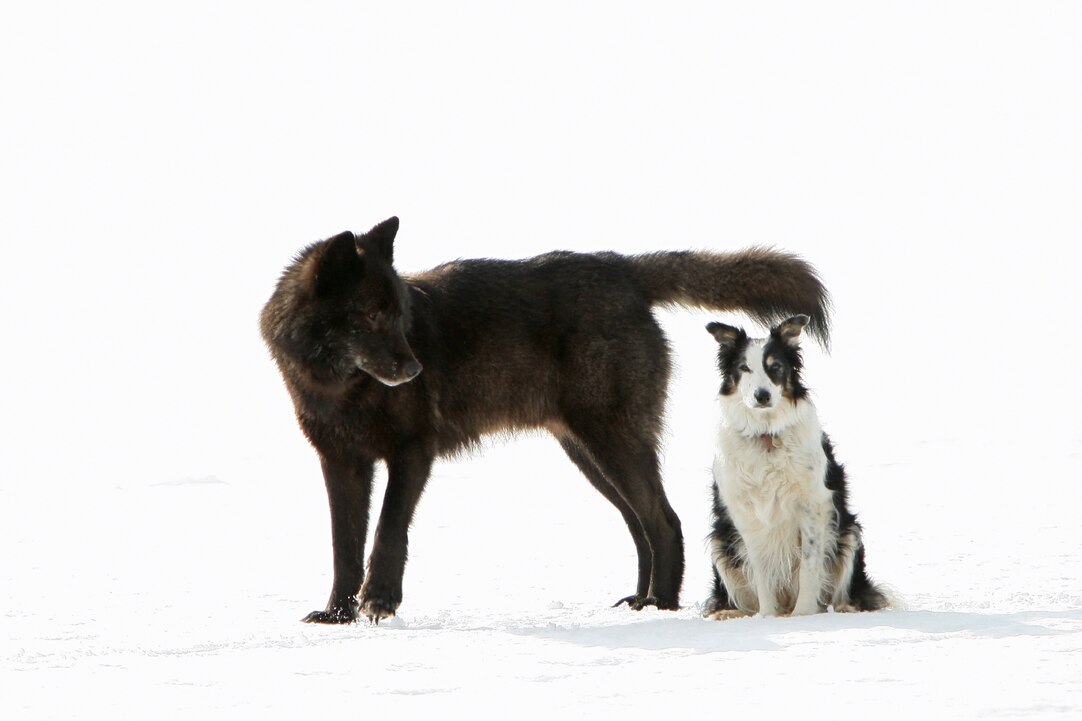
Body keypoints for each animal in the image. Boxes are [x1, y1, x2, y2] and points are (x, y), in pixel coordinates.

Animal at [260, 216, 831, 623]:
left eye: (399, 317)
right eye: (372, 316)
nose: (417, 369)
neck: (340, 388)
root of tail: (621, 267)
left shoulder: (411, 454)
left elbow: (387, 532)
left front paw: (378, 602)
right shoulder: (341, 463)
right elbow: (344, 544)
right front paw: (337, 614)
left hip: (610, 443)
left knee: (664, 521)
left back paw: (661, 608)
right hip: (587, 454)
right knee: (642, 524)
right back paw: (641, 601)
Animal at [704, 315, 888, 618]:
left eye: (776, 367)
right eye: (744, 368)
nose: (762, 395)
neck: (767, 434)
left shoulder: (814, 505)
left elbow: (809, 566)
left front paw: (802, 616)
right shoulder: (745, 512)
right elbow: (761, 569)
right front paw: (767, 617)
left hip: (849, 533)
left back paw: (845, 608)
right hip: (720, 543)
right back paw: (731, 613)